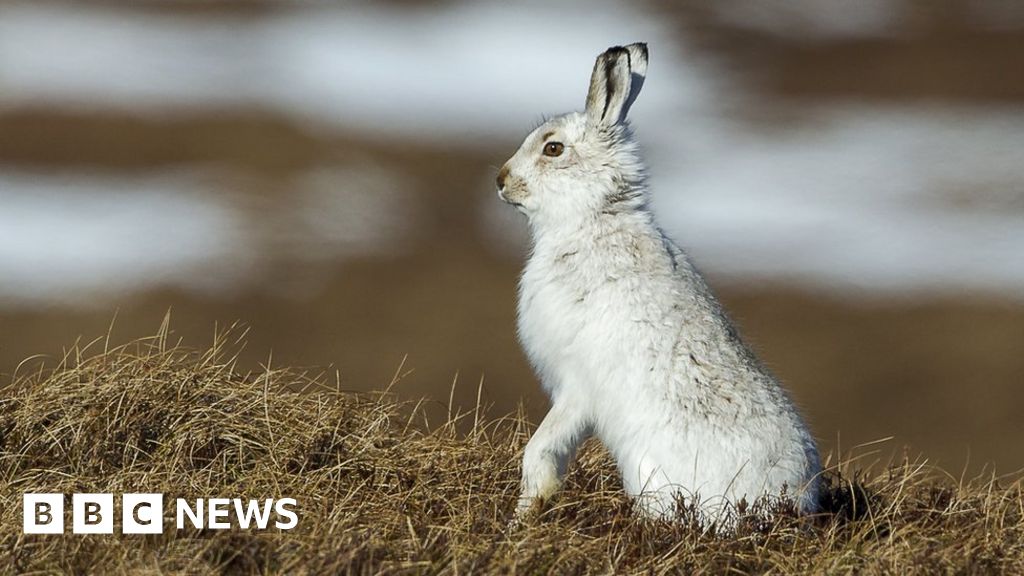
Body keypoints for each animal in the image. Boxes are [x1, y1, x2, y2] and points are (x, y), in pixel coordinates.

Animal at [496, 43, 821, 524]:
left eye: (553, 148)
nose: (501, 180)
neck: (593, 220)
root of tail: (794, 502)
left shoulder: (577, 385)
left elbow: (541, 449)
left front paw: (524, 513)